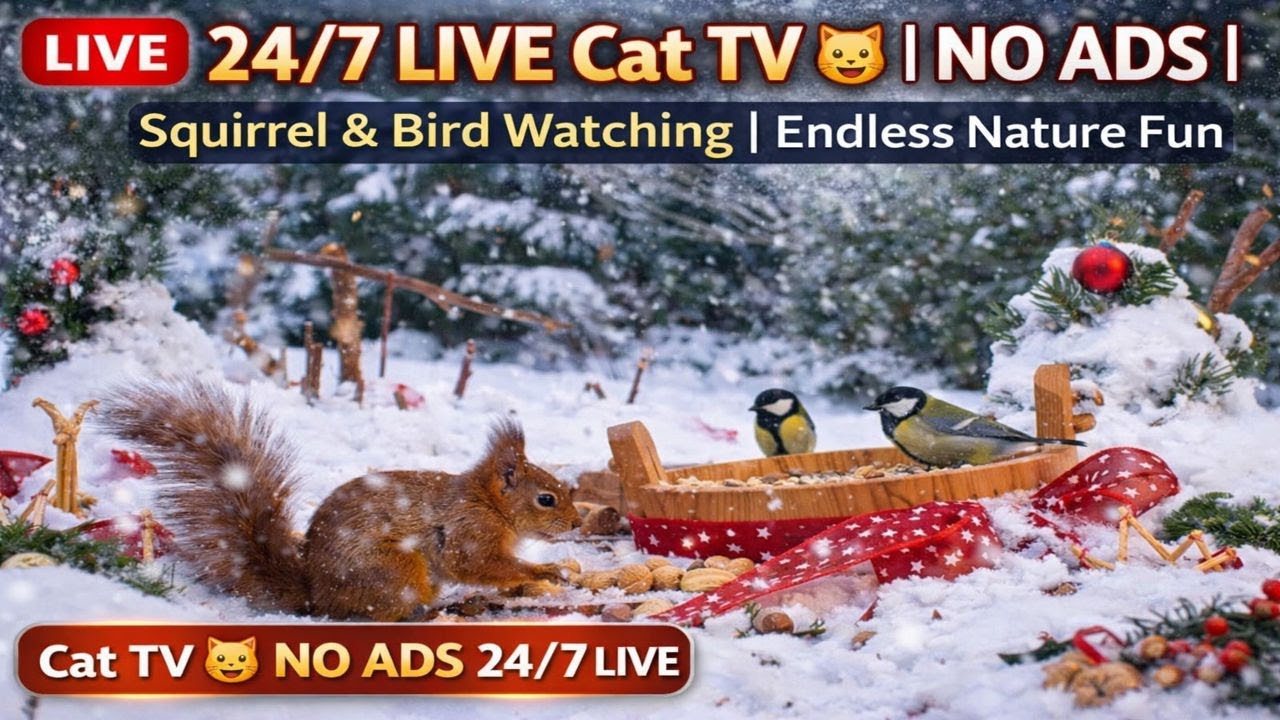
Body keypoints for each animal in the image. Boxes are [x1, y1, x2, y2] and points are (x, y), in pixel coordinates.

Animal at [99, 379, 581, 621]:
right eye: (546, 499)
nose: (577, 524)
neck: (488, 504)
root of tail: (316, 595)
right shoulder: (469, 531)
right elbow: (477, 564)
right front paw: (542, 570)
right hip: (397, 569)